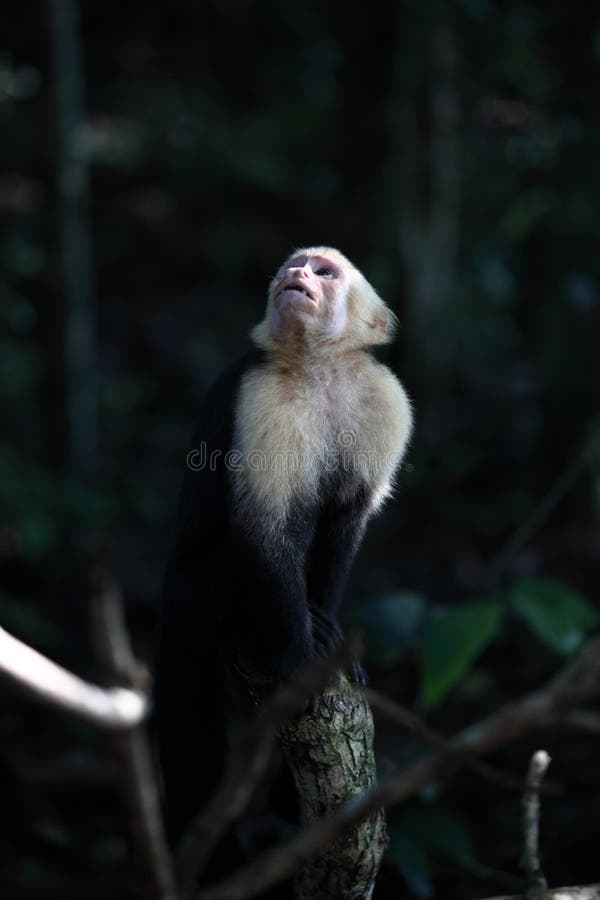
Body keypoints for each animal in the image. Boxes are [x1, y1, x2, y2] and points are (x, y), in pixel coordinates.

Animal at [154, 246, 413, 864]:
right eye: (296, 265)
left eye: (323, 272)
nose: (296, 276)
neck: (319, 369)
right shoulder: (263, 397)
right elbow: (264, 531)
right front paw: (299, 656)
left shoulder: (385, 400)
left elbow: (347, 520)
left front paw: (326, 623)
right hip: (193, 593)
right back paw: (253, 637)